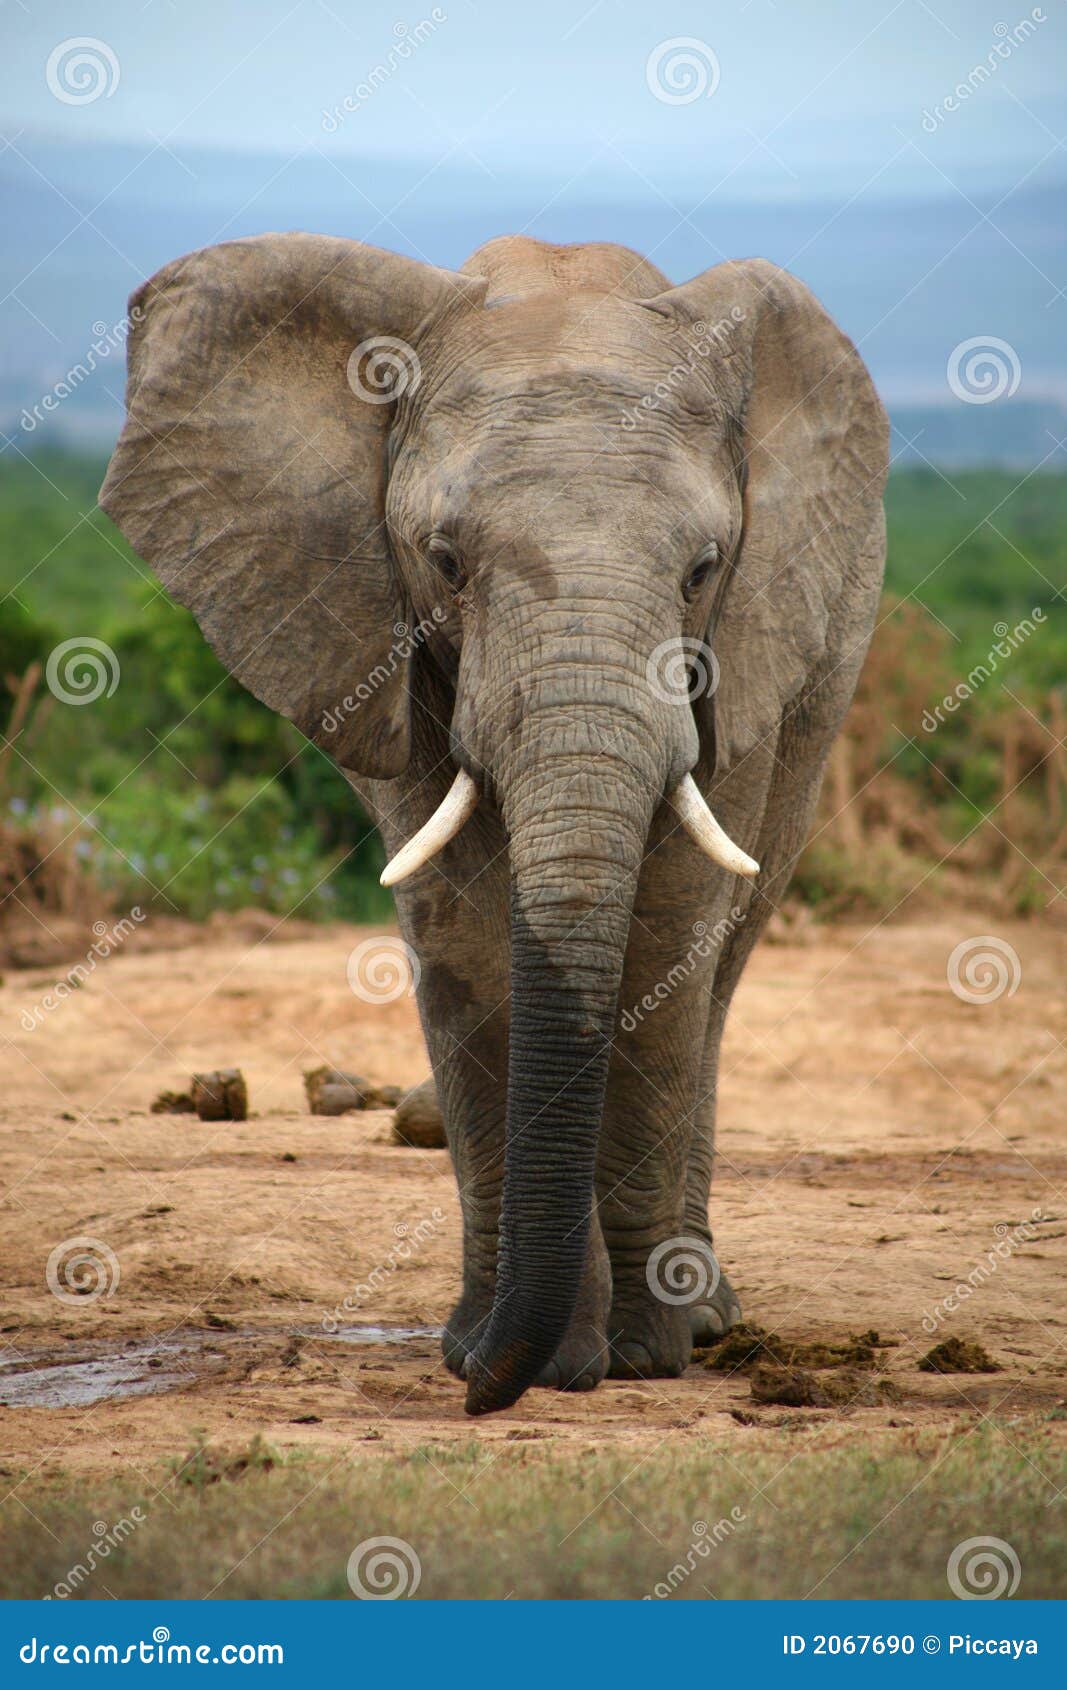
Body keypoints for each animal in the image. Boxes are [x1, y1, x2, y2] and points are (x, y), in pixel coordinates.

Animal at [100, 231, 888, 1416]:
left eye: (702, 570)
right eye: (445, 561)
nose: (476, 1388)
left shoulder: (739, 647)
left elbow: (669, 931)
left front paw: (637, 1356)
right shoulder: (380, 637)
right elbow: (462, 934)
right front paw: (521, 1353)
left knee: (726, 958)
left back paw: (705, 1317)